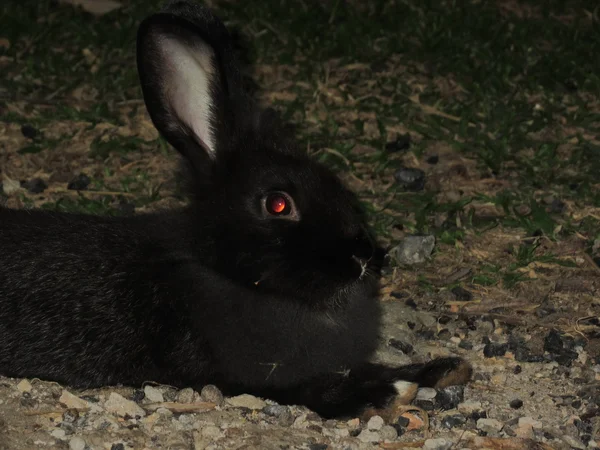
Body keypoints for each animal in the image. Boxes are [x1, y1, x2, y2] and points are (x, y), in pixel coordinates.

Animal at [0, 1, 472, 420]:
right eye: (278, 204)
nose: (360, 255)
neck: (222, 271)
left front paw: (441, 369)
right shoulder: (243, 376)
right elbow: (306, 389)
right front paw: (382, 393)